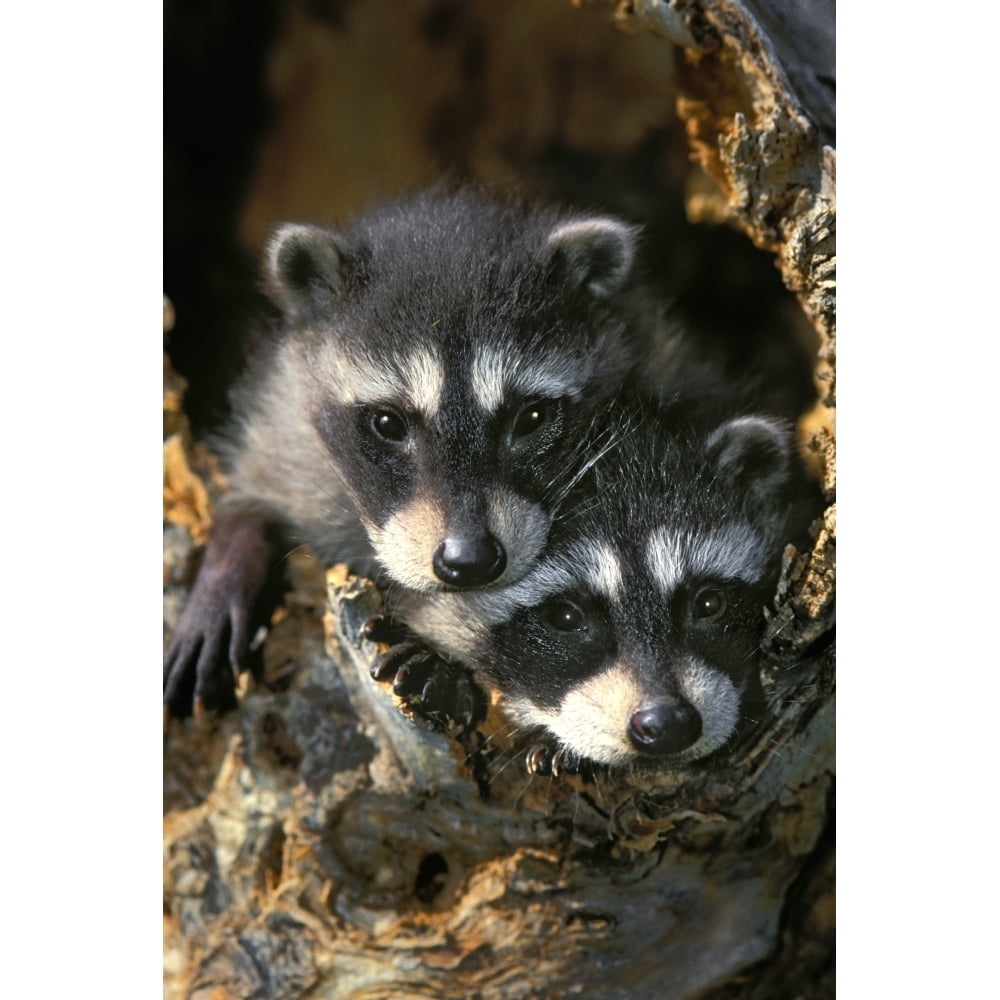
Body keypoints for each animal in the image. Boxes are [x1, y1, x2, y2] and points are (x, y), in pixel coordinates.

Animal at [164, 187, 684, 717]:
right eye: (388, 424)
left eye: (531, 418)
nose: (469, 561)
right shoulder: (285, 419)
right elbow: (258, 482)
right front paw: (232, 557)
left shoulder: (661, 359)